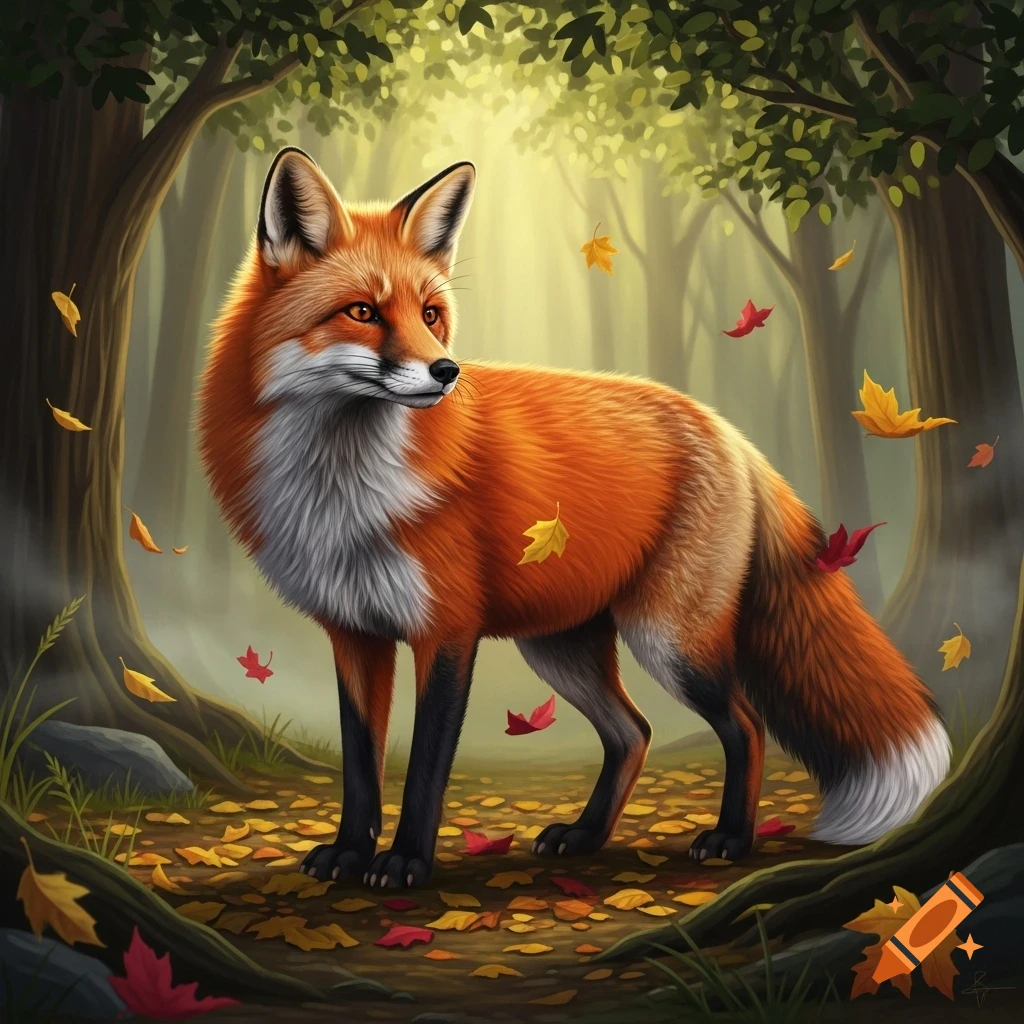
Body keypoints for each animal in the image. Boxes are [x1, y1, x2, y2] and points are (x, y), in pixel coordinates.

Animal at [197, 148, 950, 890]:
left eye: (431, 314)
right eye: (362, 311)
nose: (447, 372)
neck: (342, 487)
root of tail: (726, 431)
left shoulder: (448, 631)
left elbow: (426, 769)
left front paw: (407, 862)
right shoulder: (354, 634)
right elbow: (360, 764)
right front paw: (350, 854)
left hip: (668, 640)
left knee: (745, 725)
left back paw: (731, 838)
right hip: (561, 648)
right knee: (633, 732)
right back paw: (587, 836)